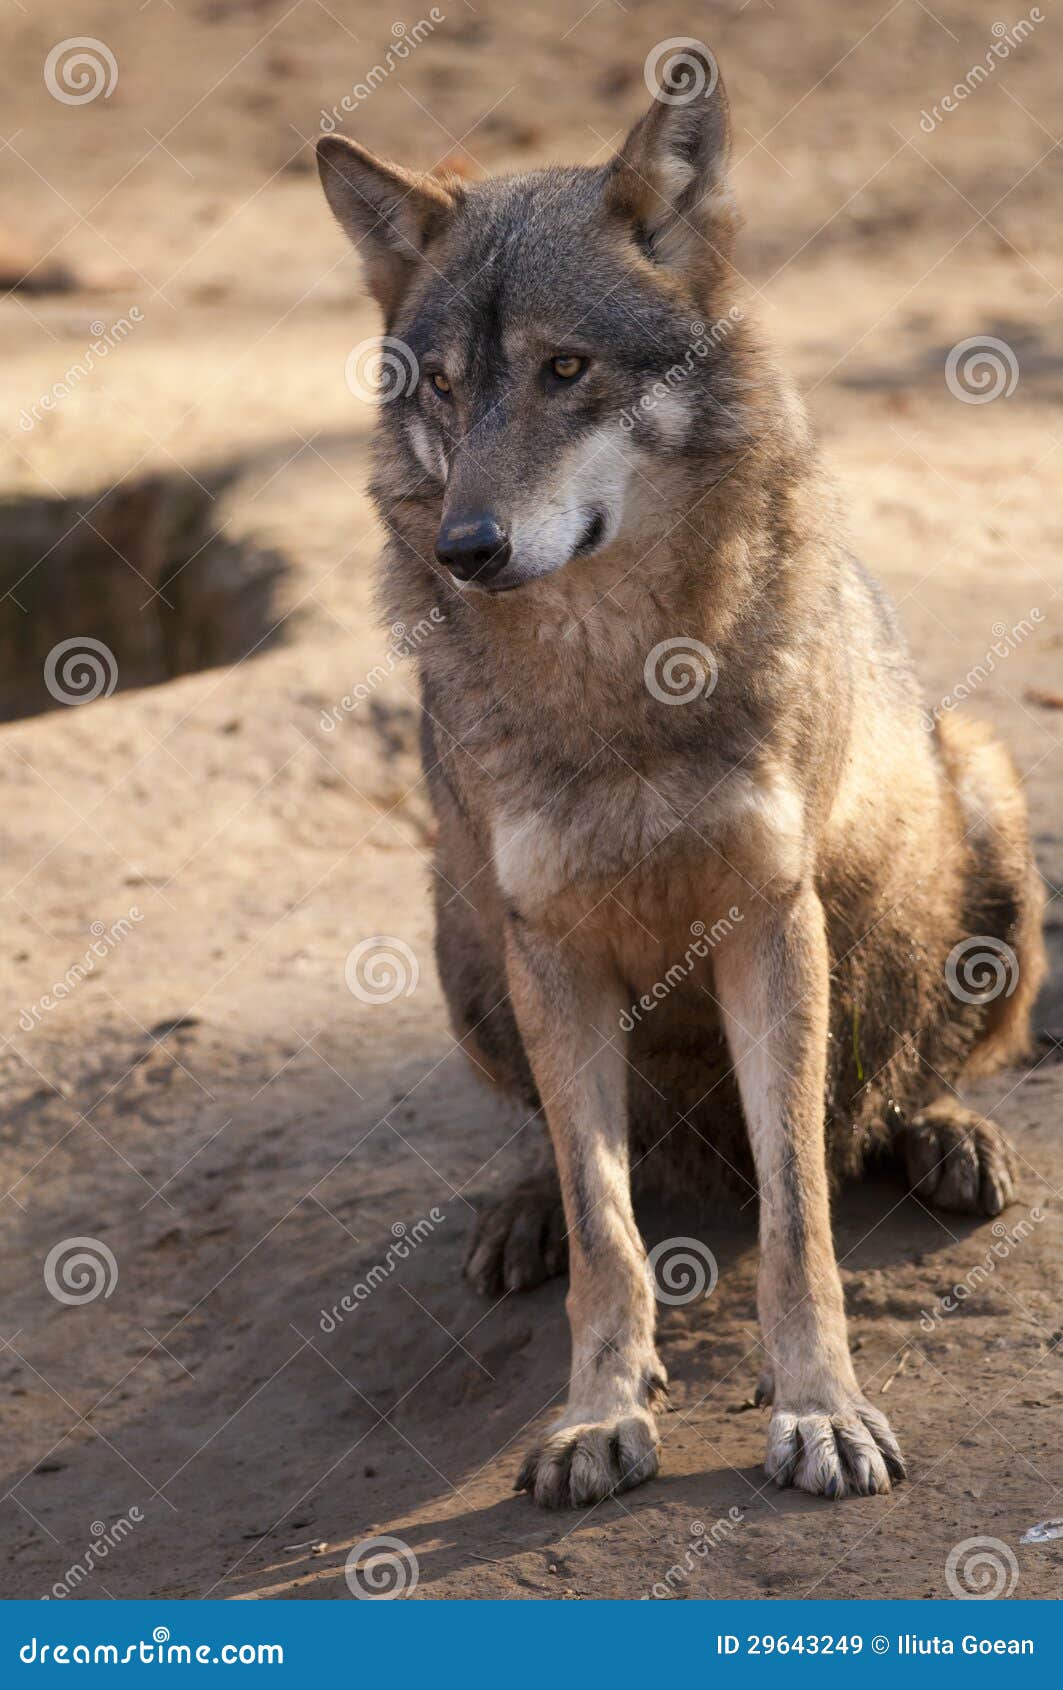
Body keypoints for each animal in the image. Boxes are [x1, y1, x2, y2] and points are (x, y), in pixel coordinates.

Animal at [317, 44, 1045, 1506]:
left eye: (565, 368)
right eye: (440, 385)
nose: (468, 546)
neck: (615, 686)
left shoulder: (768, 920)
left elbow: (798, 1214)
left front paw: (820, 1408)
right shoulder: (549, 939)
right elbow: (606, 1224)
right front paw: (595, 1415)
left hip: (984, 800)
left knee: (896, 1094)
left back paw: (949, 1137)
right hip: (457, 919)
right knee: (567, 1150)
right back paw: (518, 1207)